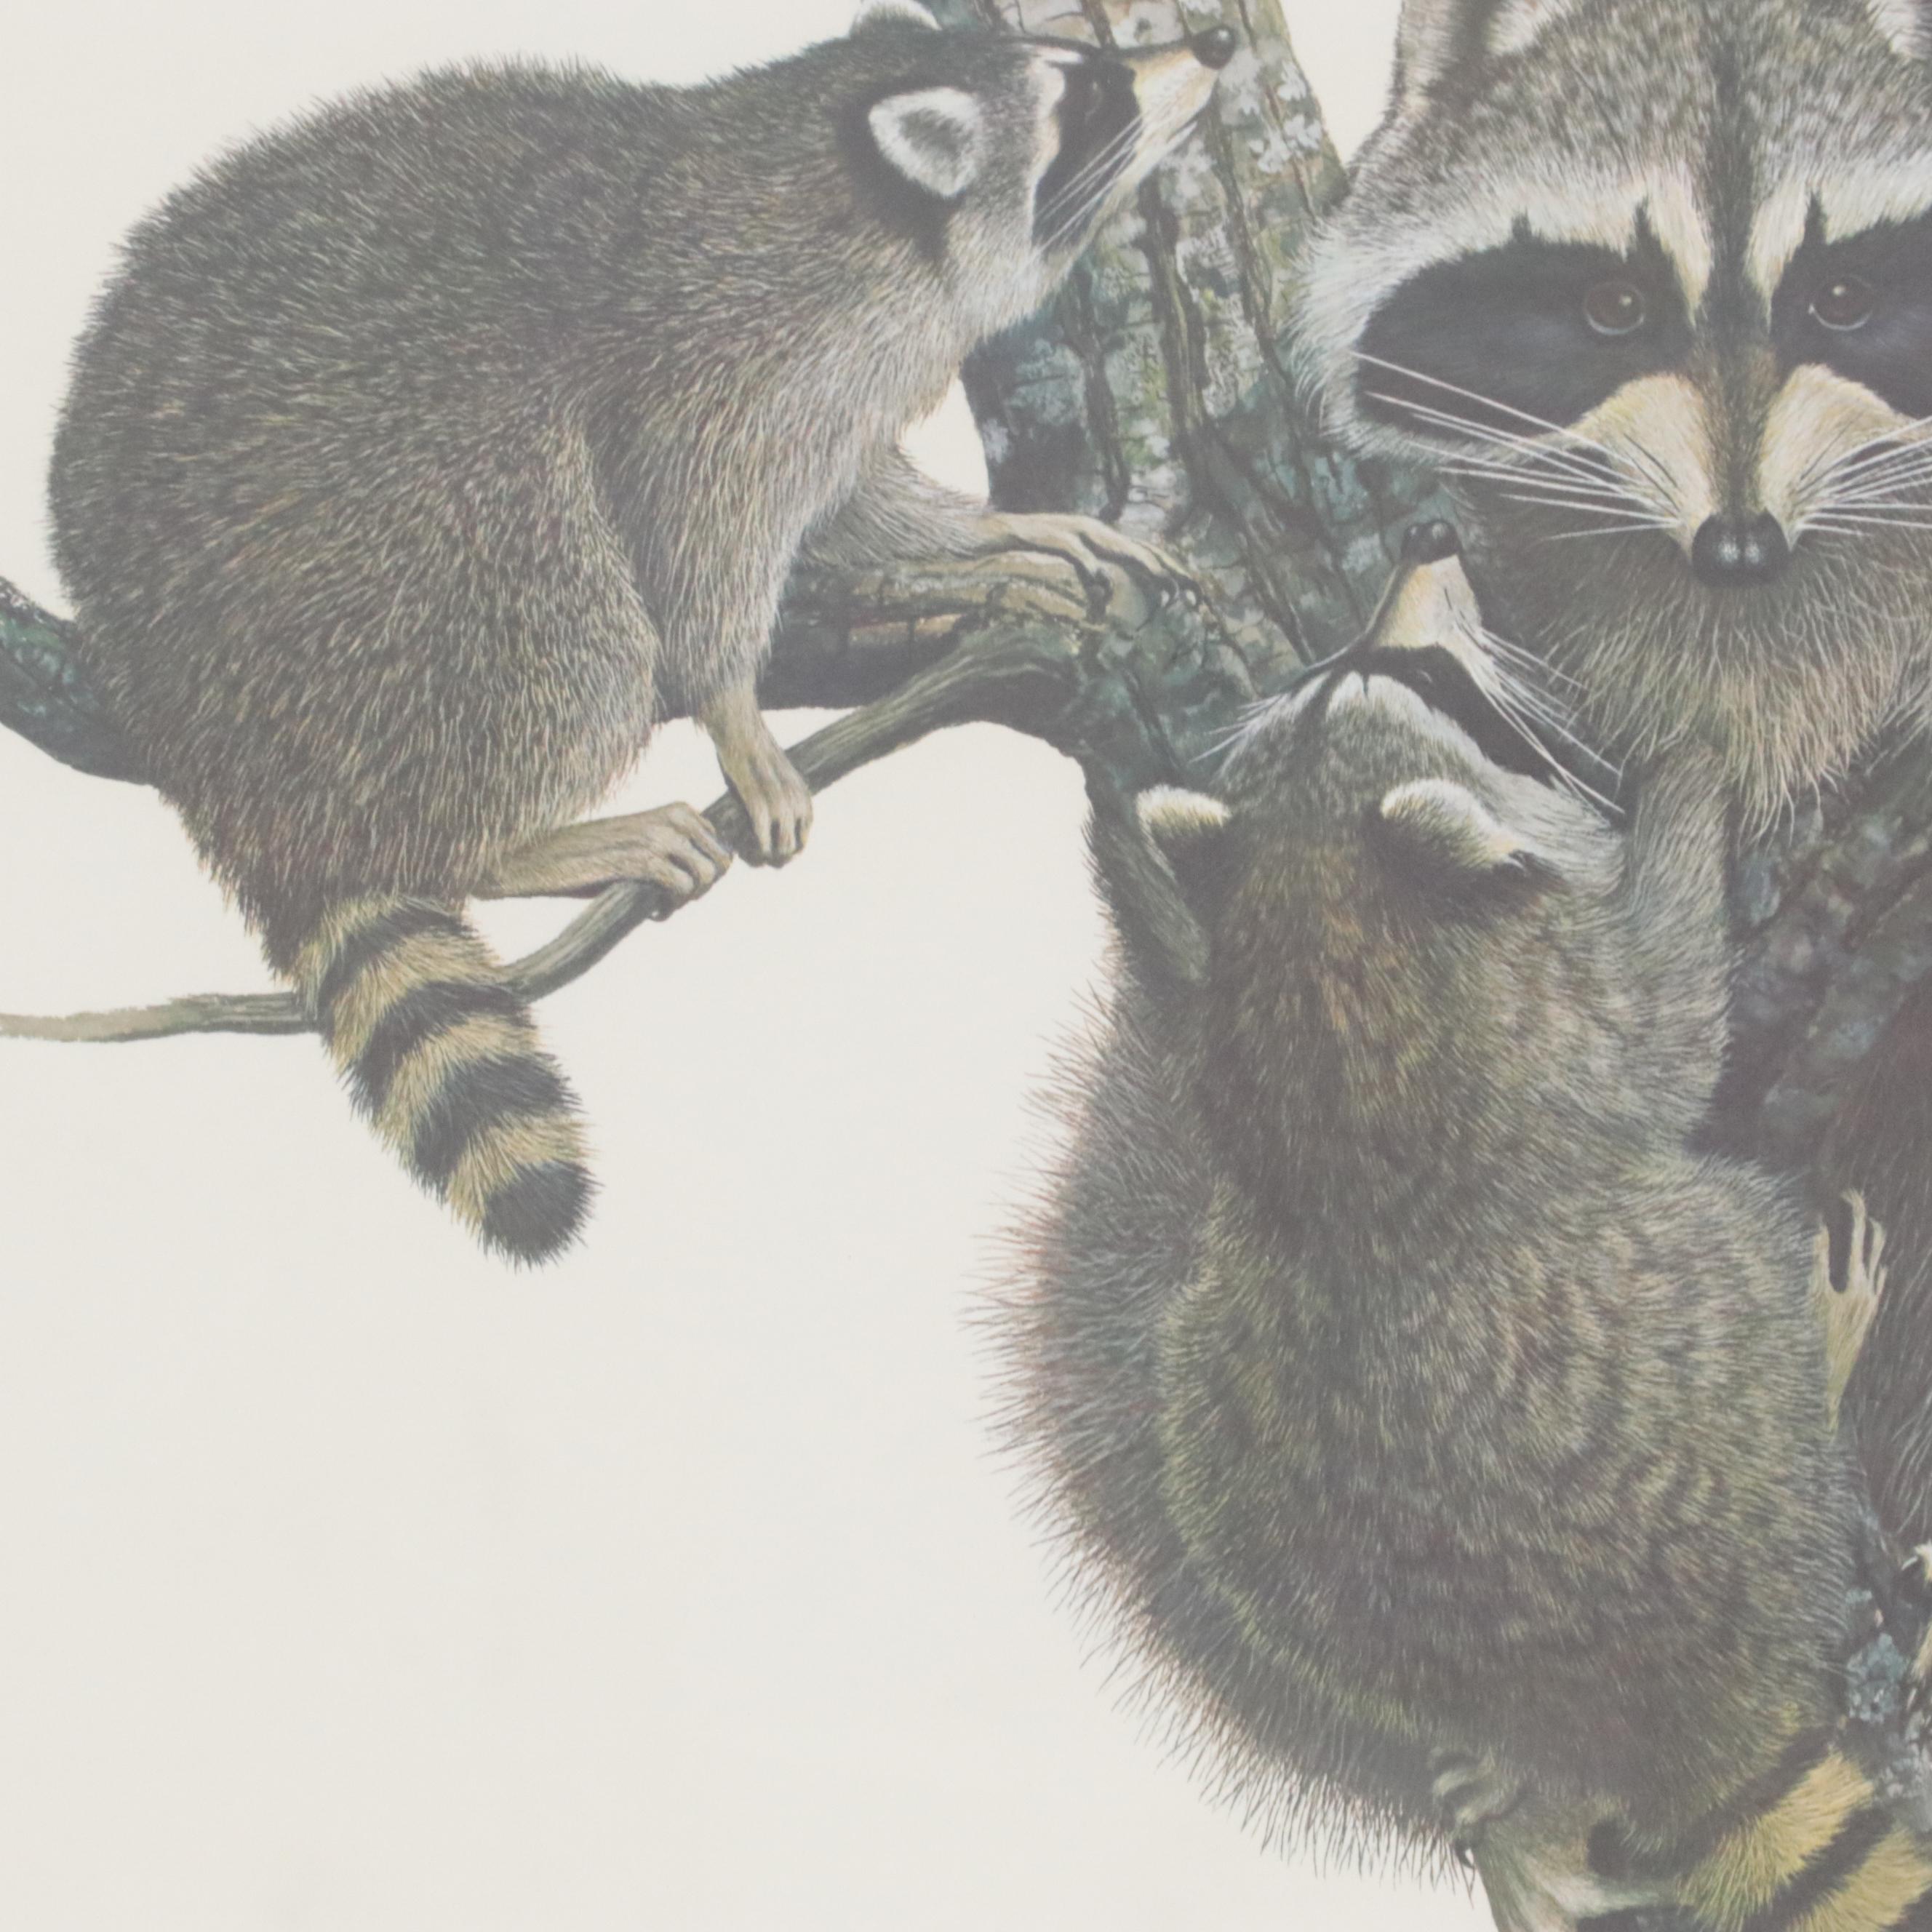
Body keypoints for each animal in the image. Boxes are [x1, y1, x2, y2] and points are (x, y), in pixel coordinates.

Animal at [46, 2, 1236, 1262]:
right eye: (1090, 94)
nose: (1213, 46)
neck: (852, 191)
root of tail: (195, 737)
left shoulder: (838, 379)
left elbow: (854, 502)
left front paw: (1006, 539)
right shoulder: (724, 356)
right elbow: (695, 533)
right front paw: (731, 703)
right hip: (368, 574)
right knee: (570, 614)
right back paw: (506, 843)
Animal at [993, 527, 1917, 1929]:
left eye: (1342, 674)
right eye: (1430, 688)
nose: (1432, 543)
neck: (1314, 890)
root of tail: (1683, 1728)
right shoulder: (1560, 1005)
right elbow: (1673, 1008)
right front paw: (1690, 774)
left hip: (1249, 1498)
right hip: (1702, 1350)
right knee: (1726, 1252)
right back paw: (1824, 1334)